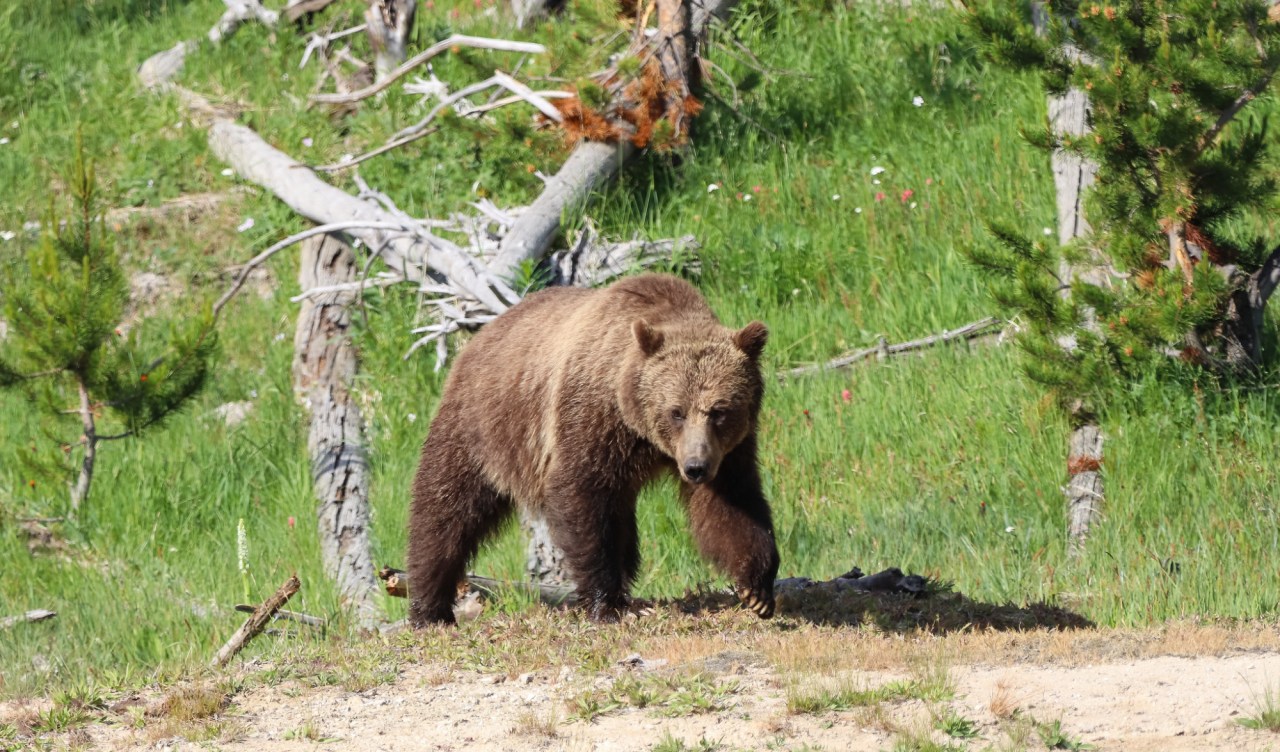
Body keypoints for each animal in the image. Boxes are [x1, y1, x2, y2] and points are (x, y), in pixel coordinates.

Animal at [406, 273, 779, 626]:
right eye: (676, 411)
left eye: (719, 411)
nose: (695, 468)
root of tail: (482, 333)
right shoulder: (591, 417)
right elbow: (580, 493)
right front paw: (606, 603)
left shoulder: (729, 449)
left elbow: (732, 502)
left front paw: (757, 588)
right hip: (484, 426)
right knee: (446, 506)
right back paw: (429, 607)